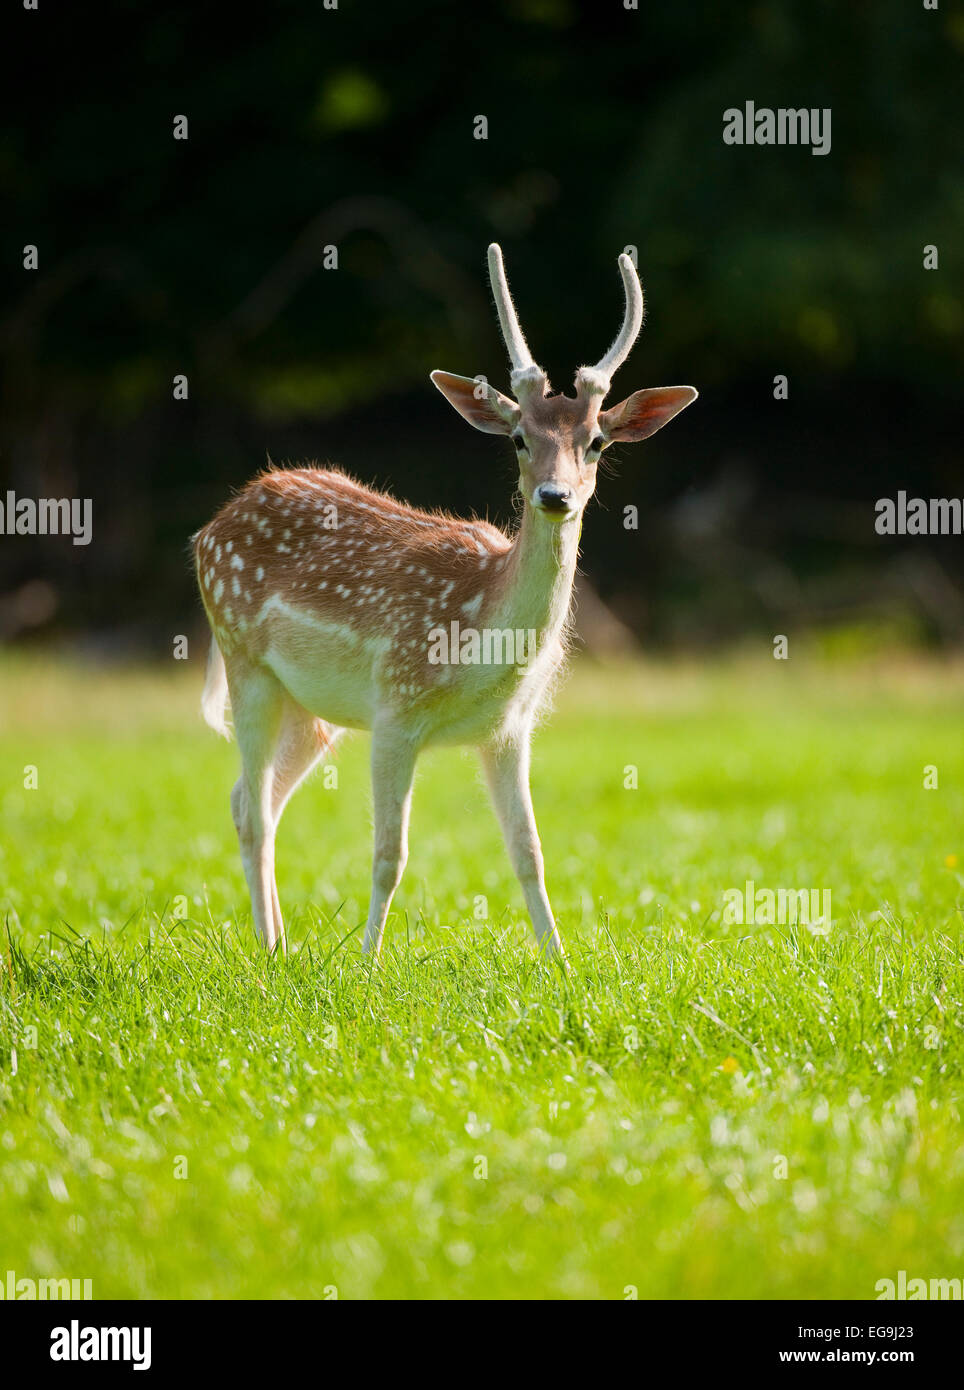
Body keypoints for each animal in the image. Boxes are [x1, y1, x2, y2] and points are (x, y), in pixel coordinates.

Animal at [193, 244, 697, 961]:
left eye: (596, 442)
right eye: (518, 438)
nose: (554, 496)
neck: (480, 636)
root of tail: (213, 525)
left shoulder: (511, 727)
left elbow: (530, 853)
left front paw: (560, 963)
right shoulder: (395, 708)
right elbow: (389, 854)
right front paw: (368, 963)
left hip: (311, 709)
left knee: (249, 797)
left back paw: (281, 944)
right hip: (246, 661)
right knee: (254, 808)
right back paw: (270, 950)